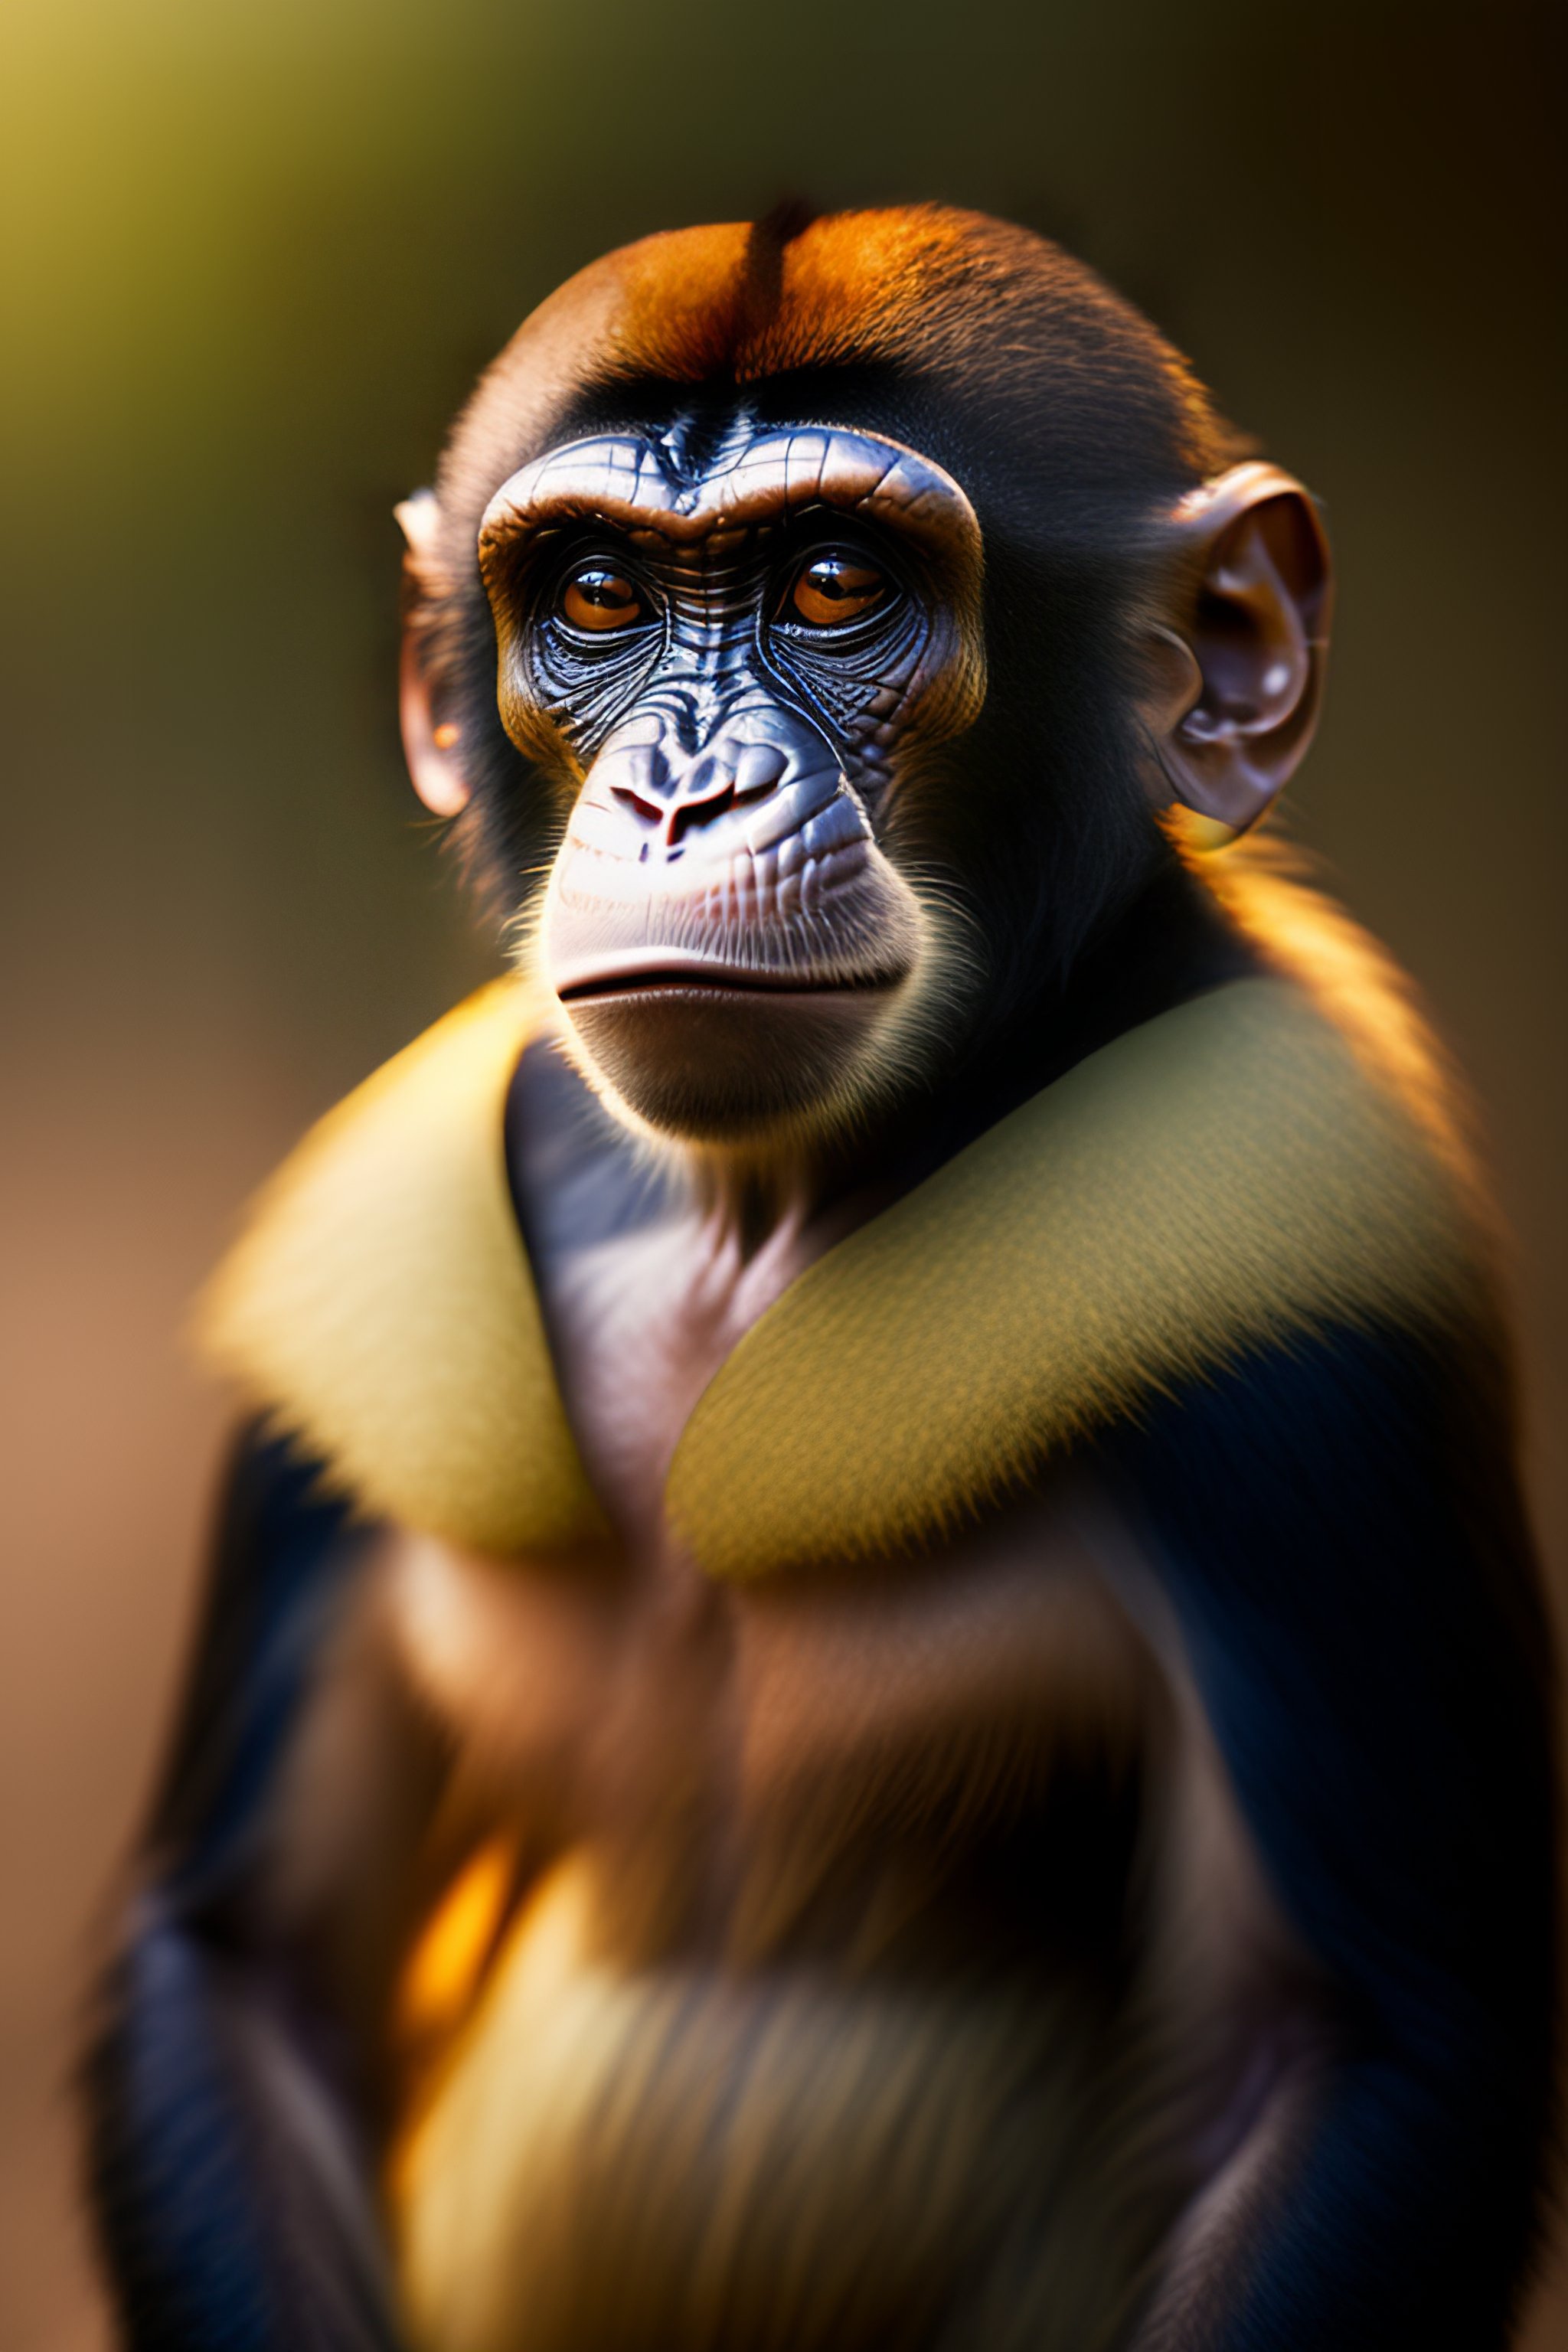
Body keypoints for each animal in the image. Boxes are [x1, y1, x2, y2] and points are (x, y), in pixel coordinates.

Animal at [83, 206, 1557, 2352]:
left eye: (839, 585)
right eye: (596, 594)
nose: (683, 788)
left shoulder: (1304, 1306)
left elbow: (1340, 2052)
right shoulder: (370, 1317)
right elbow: (243, 1948)